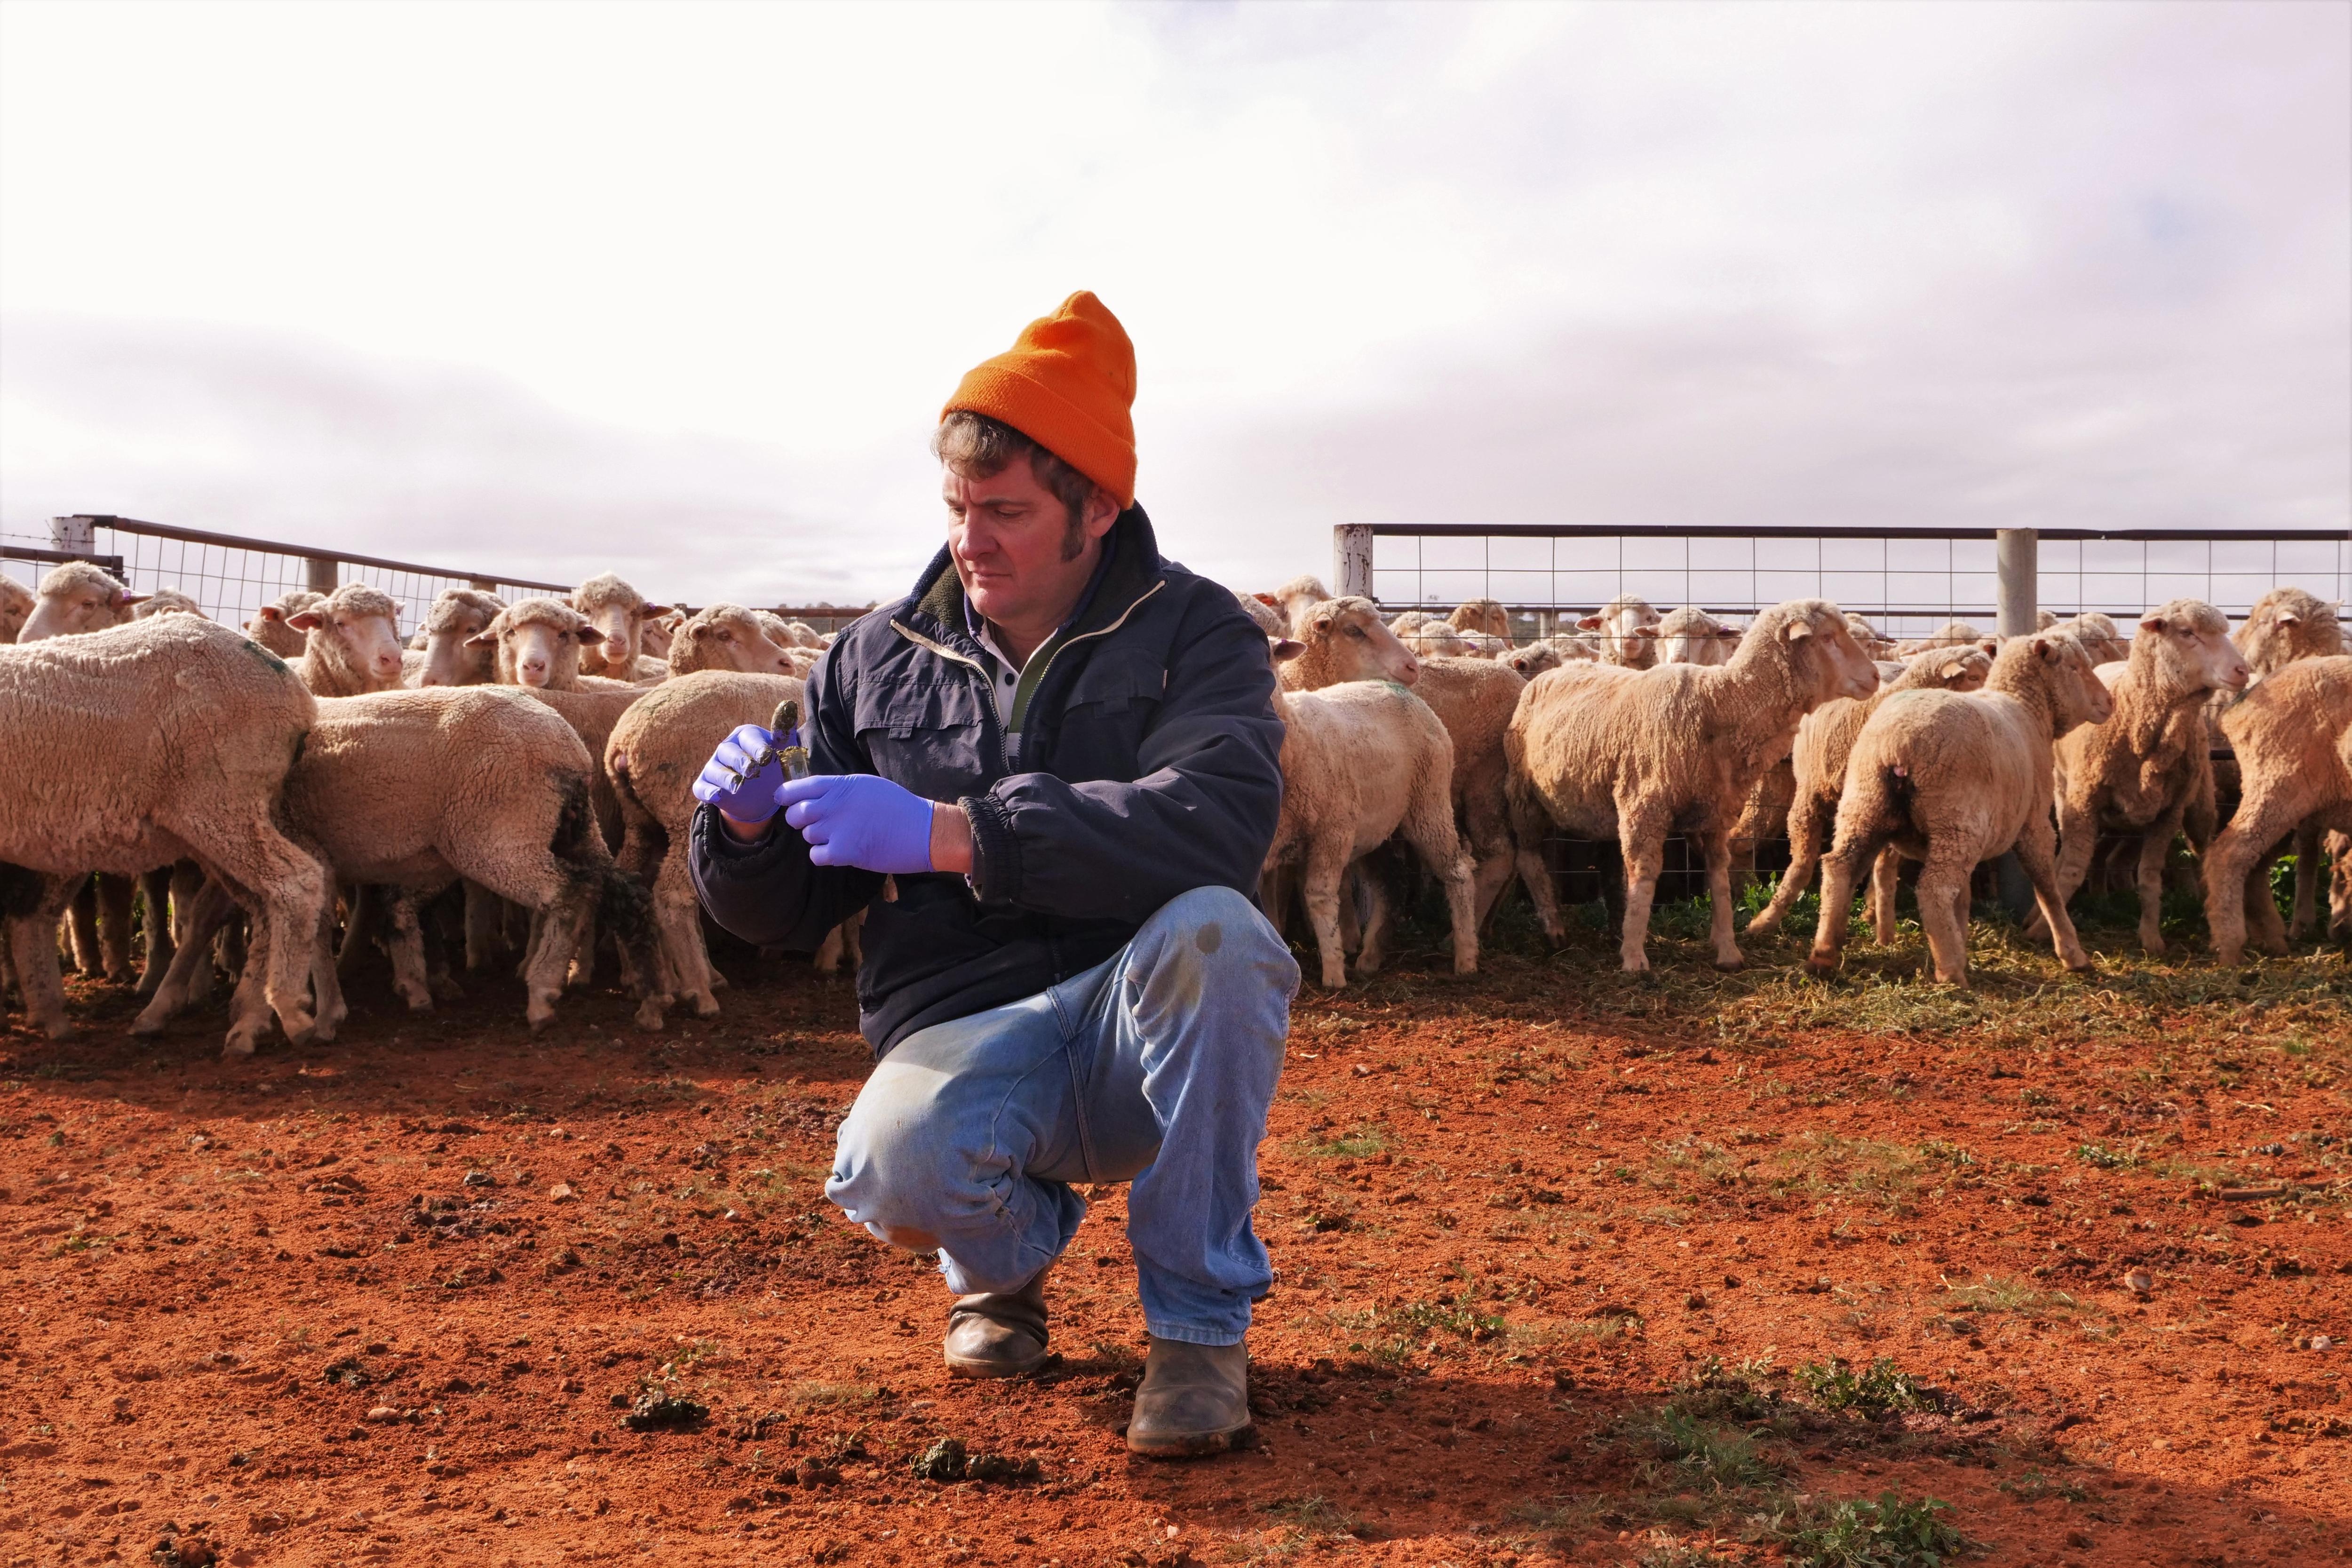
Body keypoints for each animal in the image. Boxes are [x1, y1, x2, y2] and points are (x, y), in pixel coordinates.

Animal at [0, 617, 329, 1052]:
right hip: (216, 814)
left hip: (220, 796)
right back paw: (246, 1021)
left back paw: (291, 1009)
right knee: (259, 904)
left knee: (295, 882)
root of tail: (294, 689)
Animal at [606, 671, 810, 1015]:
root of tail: (624, 742)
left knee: (629, 884)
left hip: (641, 823)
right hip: (681, 813)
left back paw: (644, 980)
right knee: (673, 897)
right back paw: (698, 990)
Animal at [1263, 639, 1477, 988]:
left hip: (1428, 804)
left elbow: (1319, 896)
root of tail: (1402, 691)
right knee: (1391, 884)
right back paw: (1370, 957)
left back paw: (1467, 957)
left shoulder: (1333, 831)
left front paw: (1333, 972)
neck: (1296, 737)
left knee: (1458, 872)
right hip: (1376, 829)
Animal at [1806, 631, 2114, 984]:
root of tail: (1898, 743)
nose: (2109, 703)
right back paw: (1951, 972)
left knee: (1839, 868)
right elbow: (2046, 887)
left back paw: (1823, 955)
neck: (2029, 710)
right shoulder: (2035, 823)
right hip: (1953, 819)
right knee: (1935, 889)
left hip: (1868, 806)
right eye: (2075, 667)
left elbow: (1964, 897)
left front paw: (1962, 940)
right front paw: (2073, 954)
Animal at [2046, 600, 2249, 954]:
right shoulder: (2083, 804)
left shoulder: (2168, 814)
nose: (2243, 671)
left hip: (2186, 809)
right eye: (2187, 633)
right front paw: (2038, 929)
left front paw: (2151, 938)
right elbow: (2071, 868)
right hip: (2077, 798)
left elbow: (2150, 877)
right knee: (2094, 856)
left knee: (2199, 852)